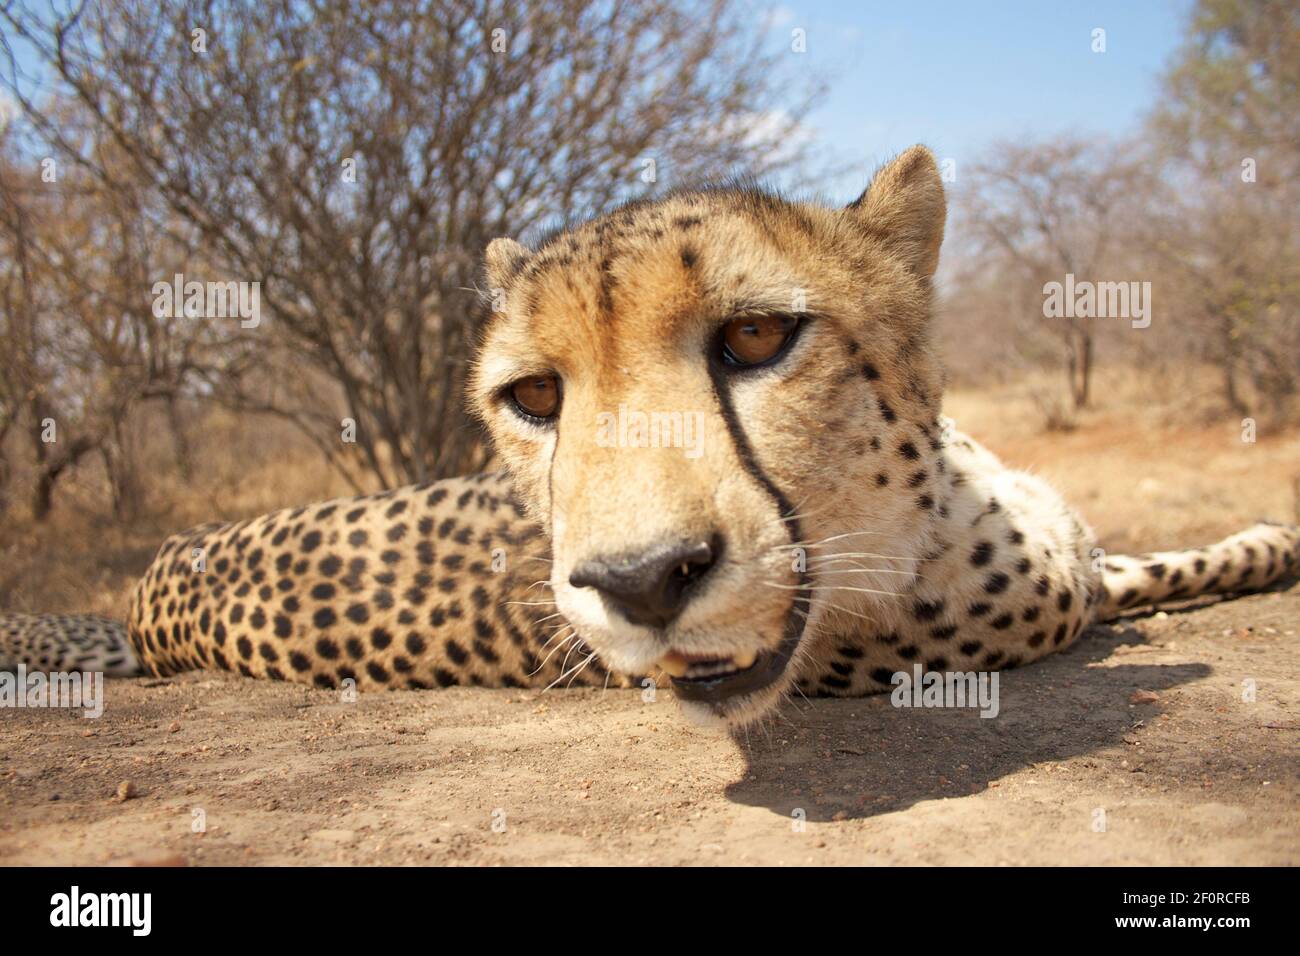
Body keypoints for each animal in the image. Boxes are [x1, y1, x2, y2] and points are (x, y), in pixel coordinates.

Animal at [3, 146, 1298, 727]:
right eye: (534, 395)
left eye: (759, 334)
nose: (641, 580)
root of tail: (149, 582)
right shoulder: (1052, 602)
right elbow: (1143, 574)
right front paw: (1263, 544)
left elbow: (1155, 555)